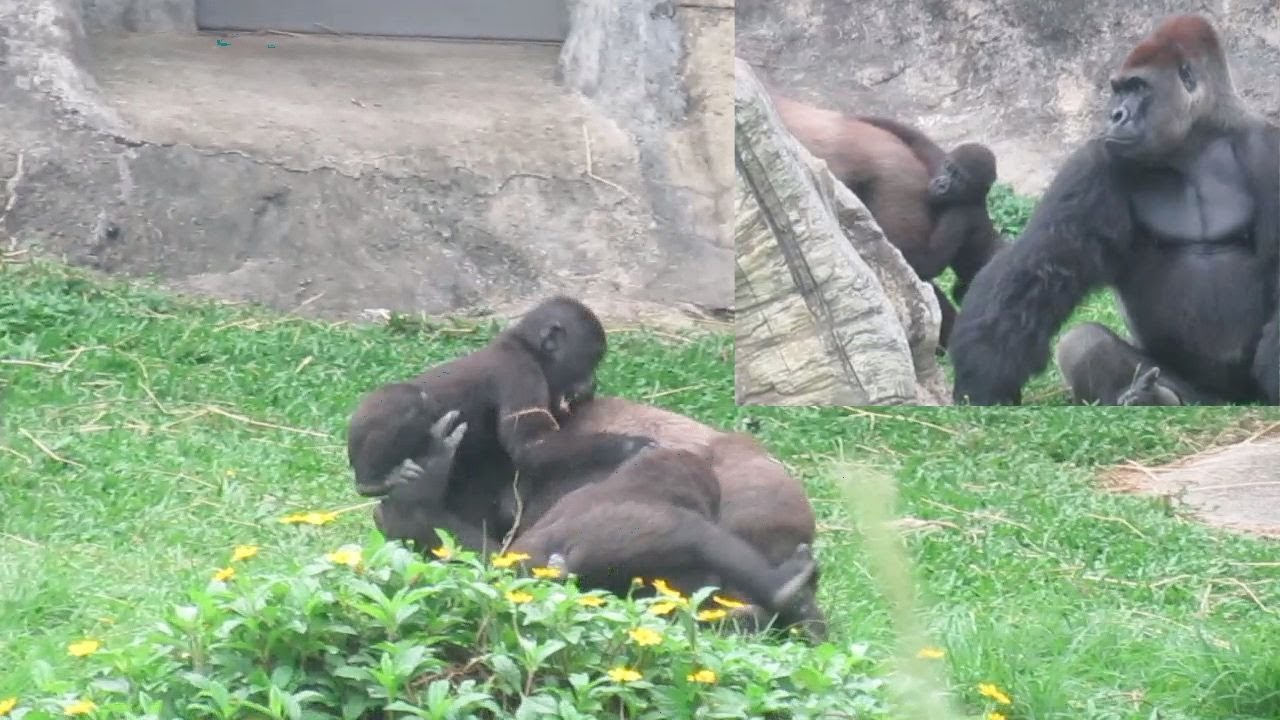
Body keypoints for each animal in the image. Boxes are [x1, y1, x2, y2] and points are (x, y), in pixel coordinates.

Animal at [349, 296, 655, 548]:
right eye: (590, 359)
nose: (592, 381)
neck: (525, 346)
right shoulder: (521, 373)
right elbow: (531, 444)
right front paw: (631, 446)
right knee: (410, 401)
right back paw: (372, 481)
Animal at [949, 14, 1278, 406]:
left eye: (1139, 87)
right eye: (1119, 90)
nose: (1116, 114)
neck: (1195, 142)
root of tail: (1226, 402)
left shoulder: (1269, 151)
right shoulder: (1097, 160)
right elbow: (1042, 265)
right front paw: (983, 375)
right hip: (1195, 395)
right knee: (1082, 342)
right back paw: (1148, 396)